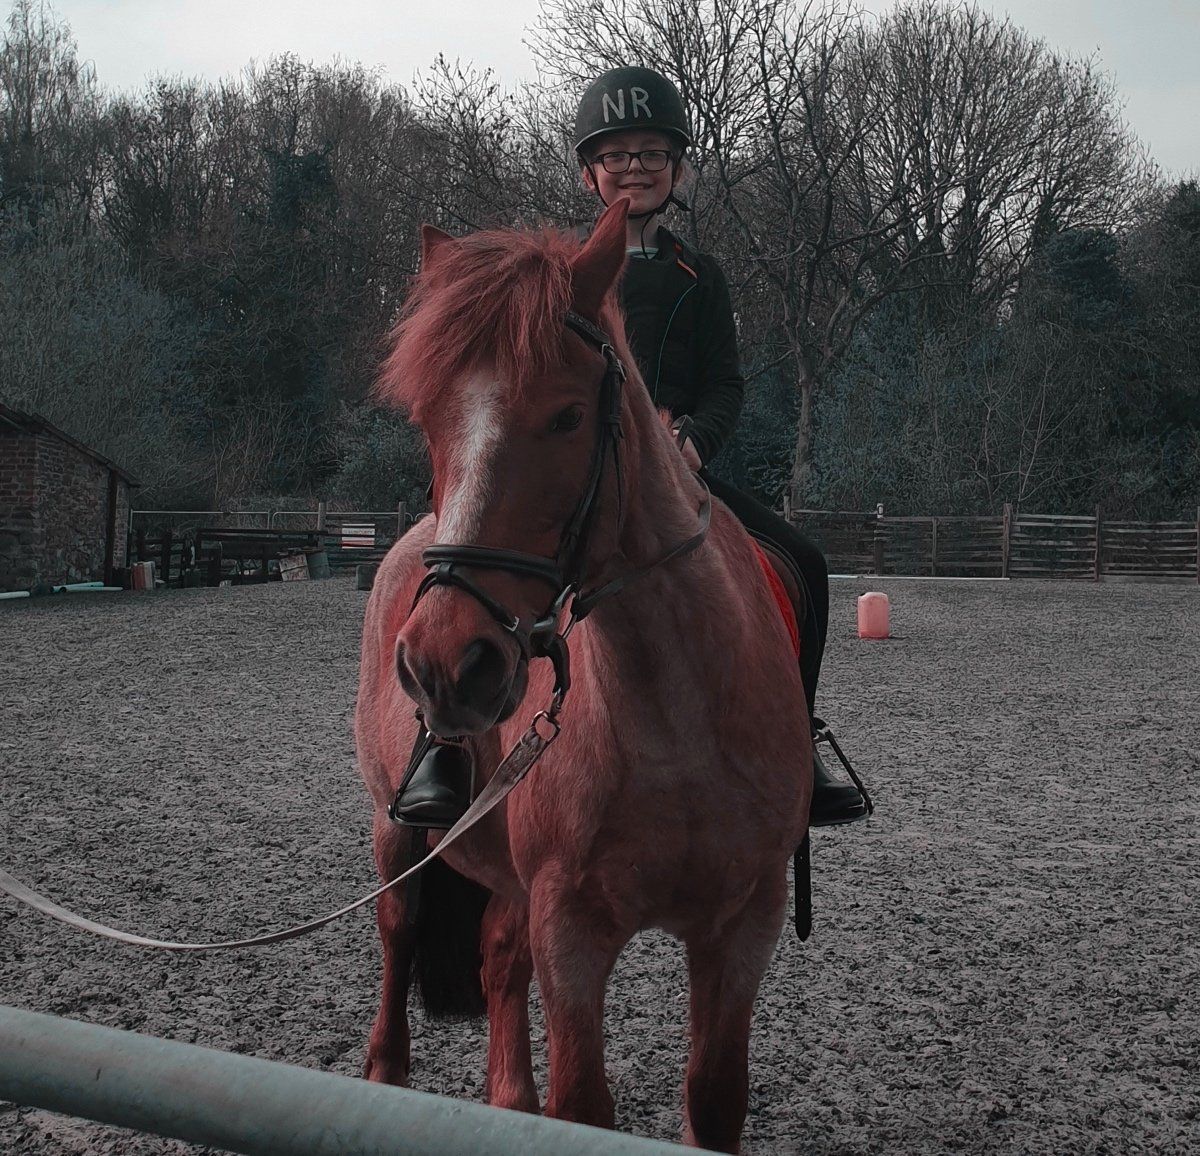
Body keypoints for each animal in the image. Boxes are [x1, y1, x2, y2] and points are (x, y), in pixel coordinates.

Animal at [355, 199, 811, 1154]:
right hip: (395, 827)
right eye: (429, 422)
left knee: (497, 958)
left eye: (567, 418)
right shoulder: (572, 927)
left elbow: (714, 1098)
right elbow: (582, 1107)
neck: (675, 721)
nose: (444, 662)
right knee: (398, 929)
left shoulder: (742, 926)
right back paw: (384, 1070)